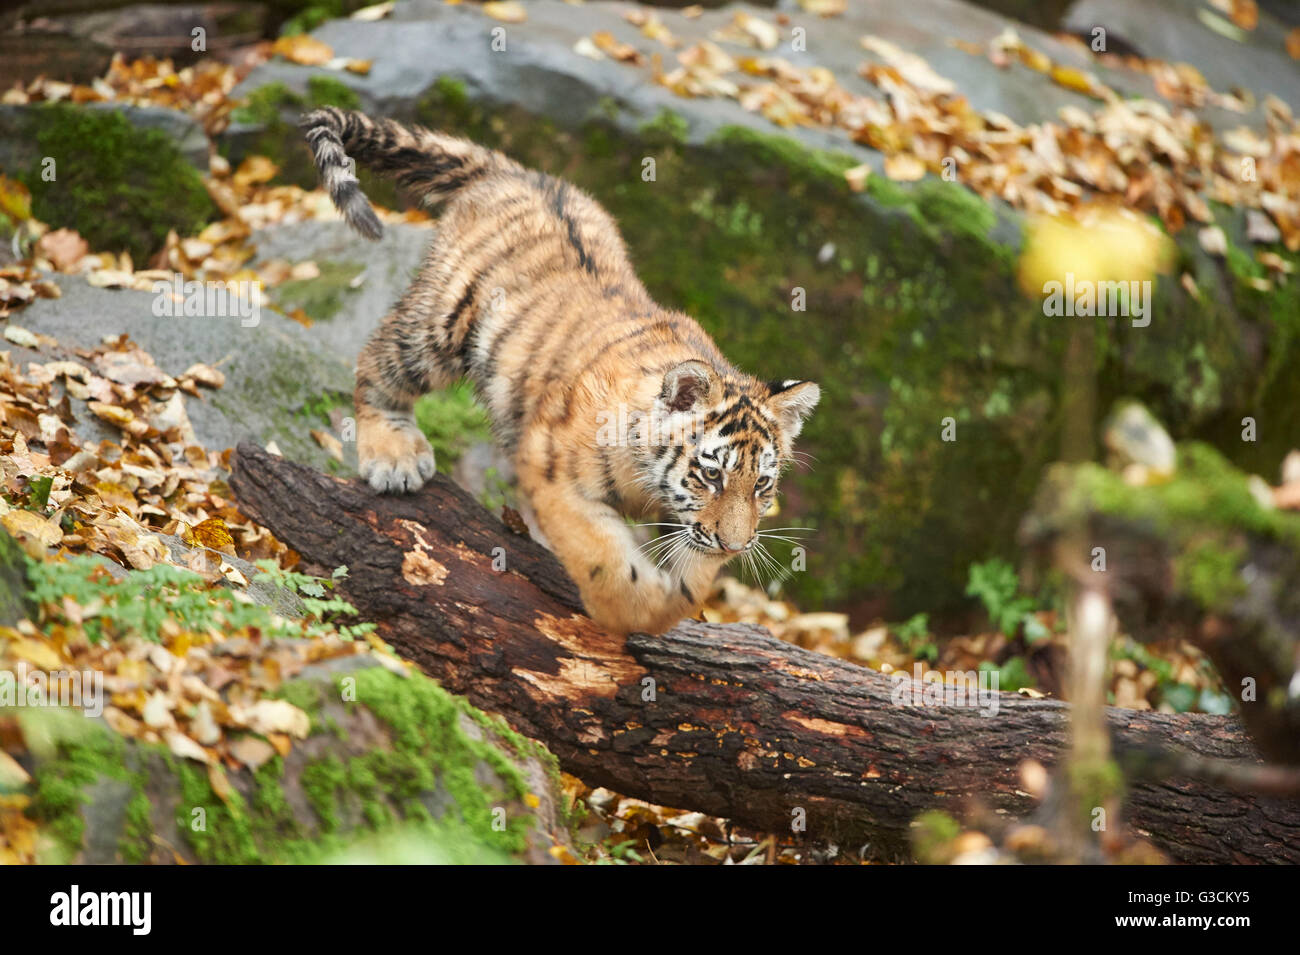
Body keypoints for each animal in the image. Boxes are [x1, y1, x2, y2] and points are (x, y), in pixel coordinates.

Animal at [301, 107, 819, 635]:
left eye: (762, 485)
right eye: (711, 475)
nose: (736, 544)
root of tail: (519, 172)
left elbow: (692, 572)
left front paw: (683, 596)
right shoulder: (553, 471)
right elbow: (606, 563)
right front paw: (632, 612)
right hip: (440, 327)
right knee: (378, 363)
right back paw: (394, 456)